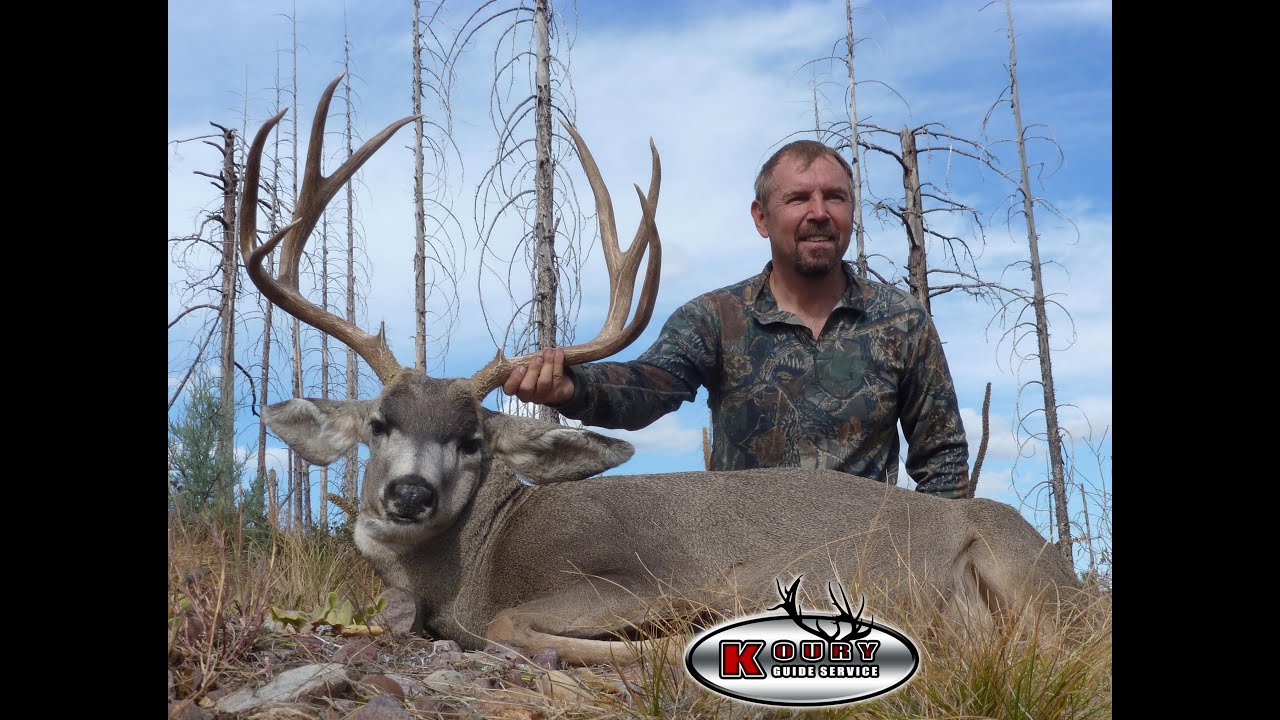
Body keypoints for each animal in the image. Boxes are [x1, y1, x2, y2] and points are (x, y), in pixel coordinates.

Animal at [242, 75, 1080, 667]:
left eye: (472, 440)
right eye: (379, 423)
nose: (408, 494)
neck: (474, 563)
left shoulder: (635, 577)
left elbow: (516, 623)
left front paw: (670, 640)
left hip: (1025, 570)